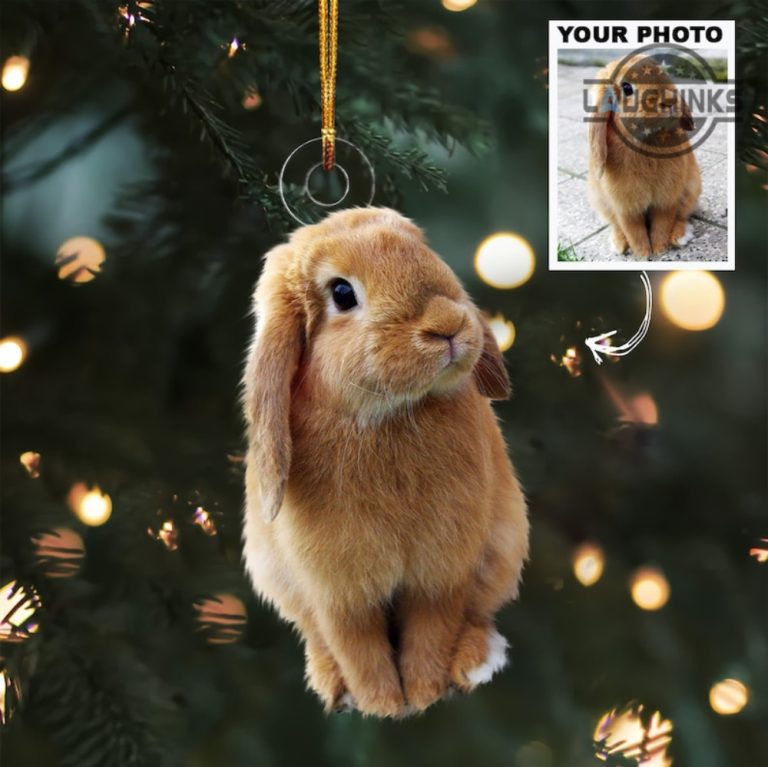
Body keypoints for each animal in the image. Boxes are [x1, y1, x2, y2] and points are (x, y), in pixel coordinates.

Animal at [241, 207, 529, 718]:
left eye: (423, 251)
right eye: (341, 293)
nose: (447, 325)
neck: (392, 416)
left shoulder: (440, 574)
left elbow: (430, 635)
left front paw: (425, 694)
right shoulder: (340, 594)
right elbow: (359, 649)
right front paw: (385, 705)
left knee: (475, 618)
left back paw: (473, 665)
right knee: (320, 641)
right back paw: (332, 684)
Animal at [587, 54, 702, 258]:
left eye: (664, 74)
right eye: (626, 88)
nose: (670, 101)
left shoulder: (666, 200)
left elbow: (662, 223)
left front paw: (659, 249)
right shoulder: (626, 208)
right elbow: (633, 230)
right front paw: (643, 253)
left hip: (690, 191)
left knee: (681, 217)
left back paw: (679, 237)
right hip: (601, 203)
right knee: (617, 226)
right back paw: (619, 245)